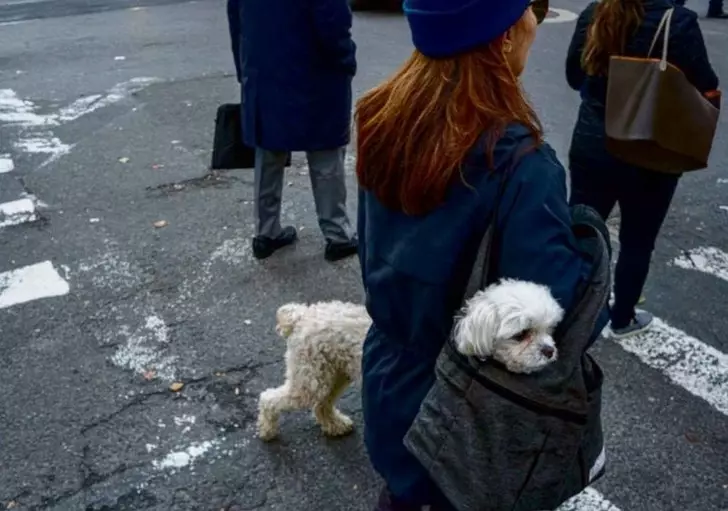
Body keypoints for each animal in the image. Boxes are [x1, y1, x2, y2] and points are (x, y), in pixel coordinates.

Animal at [256, 278, 564, 442]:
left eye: (549, 330)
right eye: (521, 334)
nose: (549, 351)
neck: (464, 331)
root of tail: (301, 315)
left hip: (332, 374)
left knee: (321, 404)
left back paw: (334, 425)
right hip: (309, 378)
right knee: (270, 398)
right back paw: (268, 429)